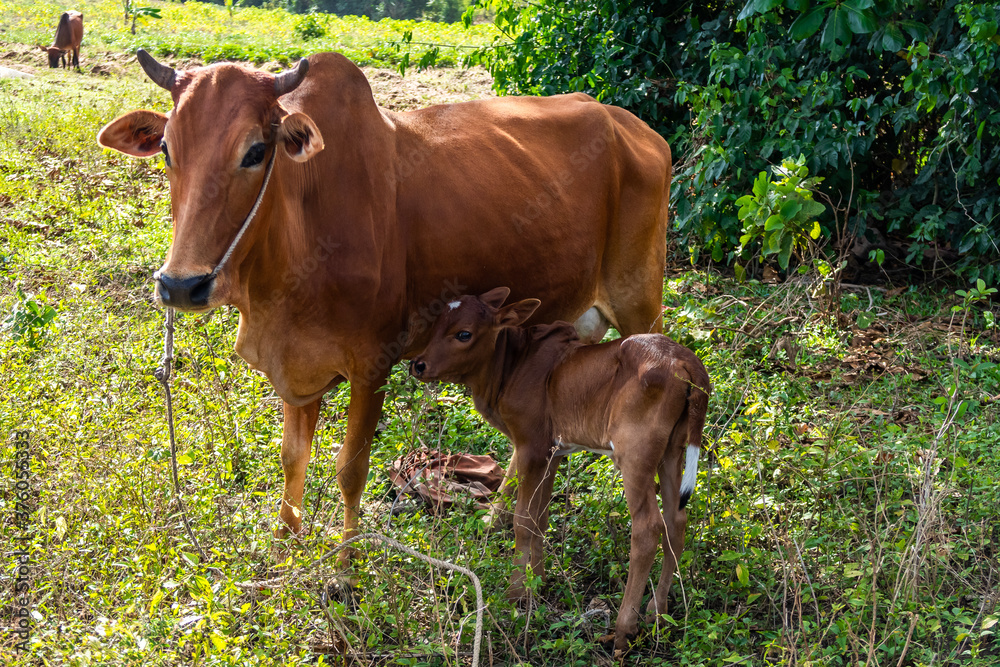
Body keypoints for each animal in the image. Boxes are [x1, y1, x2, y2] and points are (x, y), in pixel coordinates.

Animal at [95, 50, 672, 568]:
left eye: (256, 151)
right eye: (166, 149)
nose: (180, 285)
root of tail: (636, 128)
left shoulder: (373, 364)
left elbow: (350, 468)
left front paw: (345, 568)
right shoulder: (296, 370)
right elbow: (291, 459)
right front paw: (284, 551)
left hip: (641, 302)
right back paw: (497, 517)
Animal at [409, 287, 711, 651]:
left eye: (464, 334)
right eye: (437, 323)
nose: (418, 364)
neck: (512, 366)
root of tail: (686, 360)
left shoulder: (531, 446)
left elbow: (523, 519)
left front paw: (515, 593)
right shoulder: (552, 452)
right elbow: (540, 518)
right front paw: (536, 584)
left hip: (635, 453)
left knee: (649, 527)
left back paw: (624, 628)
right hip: (672, 450)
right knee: (676, 519)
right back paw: (658, 611)